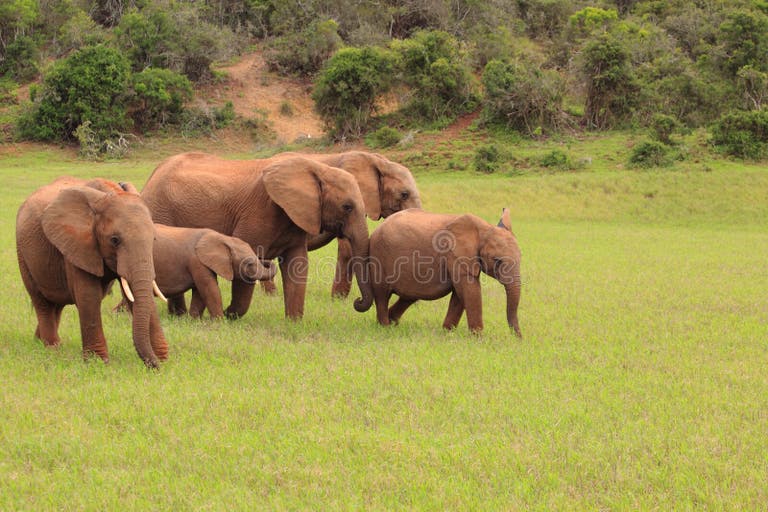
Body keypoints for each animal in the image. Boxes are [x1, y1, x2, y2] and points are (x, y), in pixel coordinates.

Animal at [16, 177, 169, 367]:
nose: (154, 366)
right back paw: (52, 348)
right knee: (42, 302)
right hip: (23, 255)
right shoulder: (76, 244)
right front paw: (98, 362)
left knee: (56, 305)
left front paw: (163, 359)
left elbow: (135, 294)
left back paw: (40, 342)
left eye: (154, 239)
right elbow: (89, 296)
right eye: (114, 240)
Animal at [359, 208, 522, 337]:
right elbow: (469, 290)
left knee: (408, 296)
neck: (484, 228)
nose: (518, 338)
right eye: (497, 260)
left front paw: (447, 332)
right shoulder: (454, 254)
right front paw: (478, 338)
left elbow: (460, 294)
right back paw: (385, 327)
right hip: (378, 256)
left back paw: (393, 323)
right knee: (382, 295)